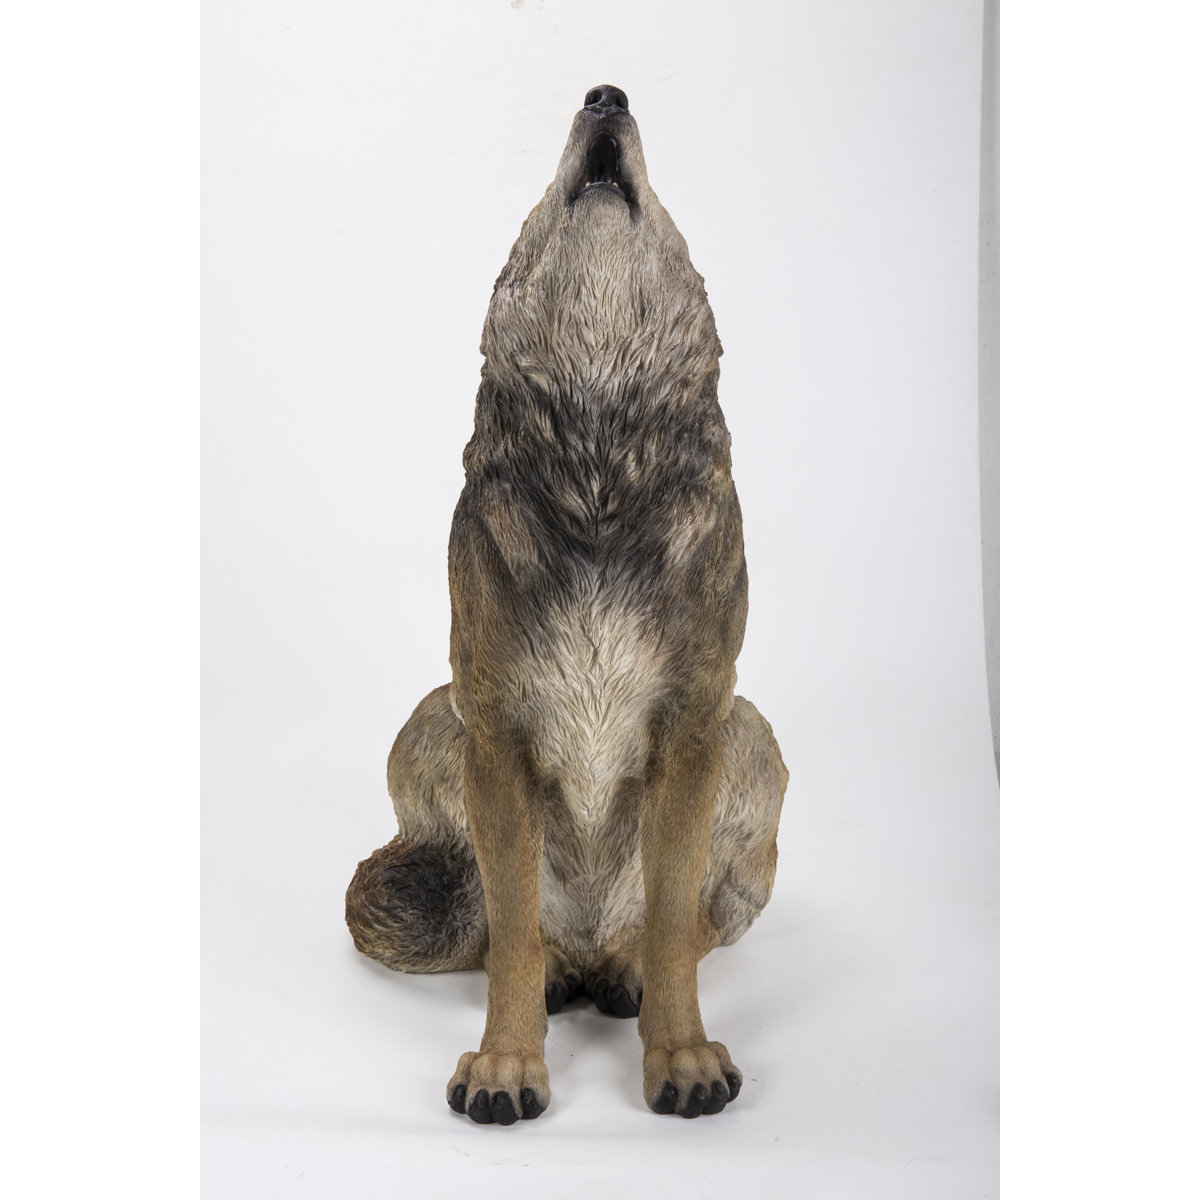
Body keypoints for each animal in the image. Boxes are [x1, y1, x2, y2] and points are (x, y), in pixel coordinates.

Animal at [346, 85, 787, 1123]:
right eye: (539, 205)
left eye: (662, 205)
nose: (606, 94)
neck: (598, 471)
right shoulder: (495, 731)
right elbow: (509, 932)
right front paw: (507, 1063)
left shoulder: (696, 727)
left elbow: (673, 922)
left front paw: (682, 1056)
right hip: (431, 716)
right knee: (522, 936)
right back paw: (563, 971)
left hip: (754, 732)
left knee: (683, 926)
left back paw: (621, 967)